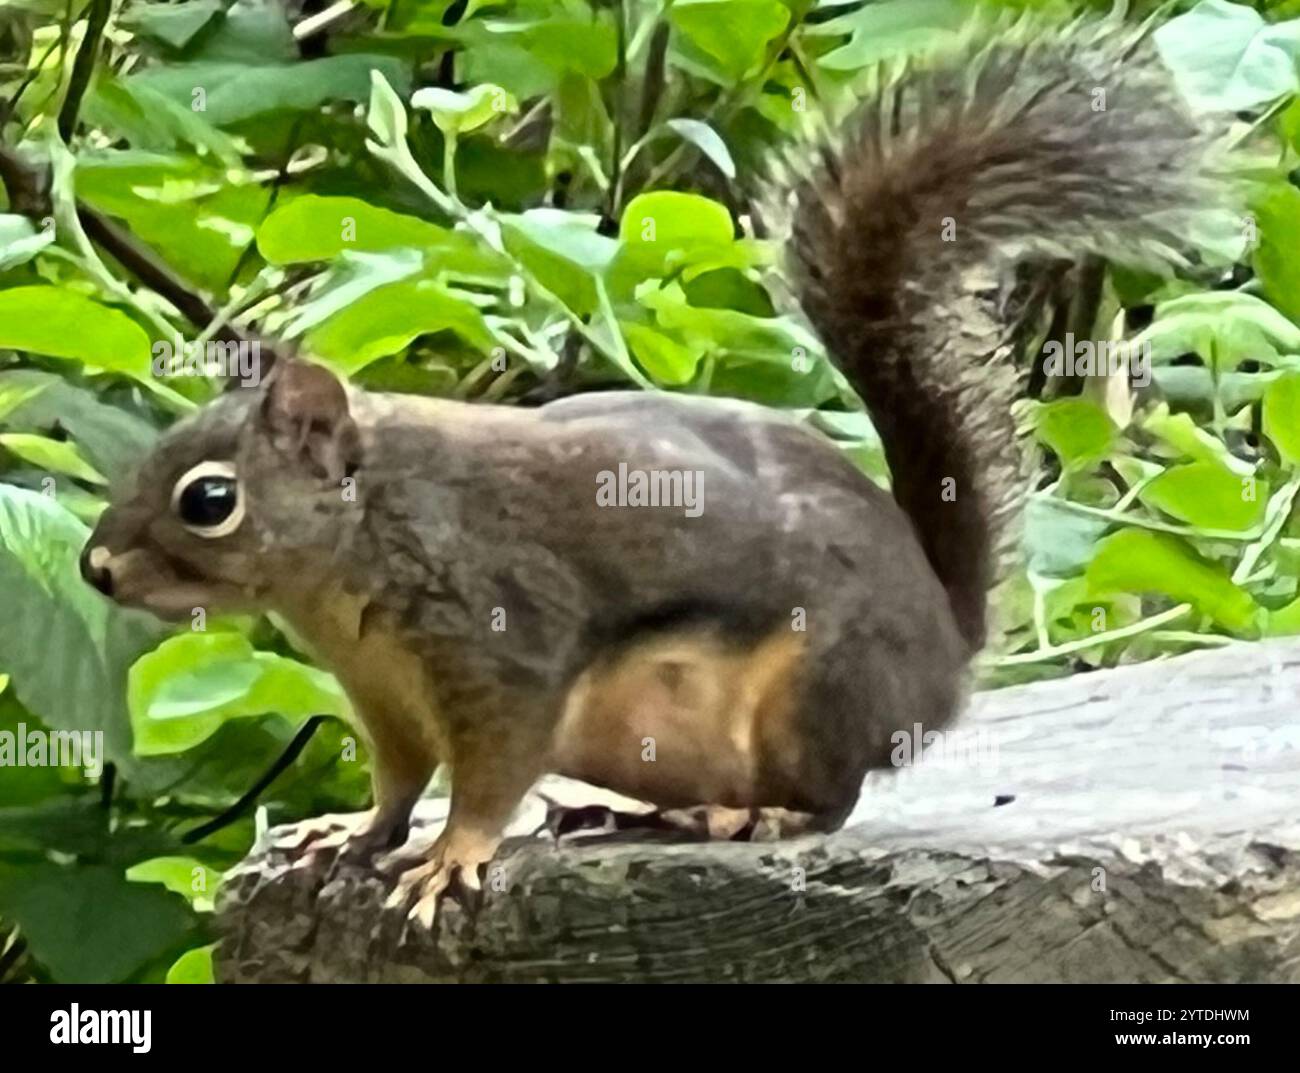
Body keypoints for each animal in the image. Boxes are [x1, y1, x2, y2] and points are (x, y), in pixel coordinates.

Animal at [81, 17, 1227, 920]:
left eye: (209, 499)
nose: (95, 569)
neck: (364, 541)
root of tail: (945, 657)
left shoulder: (503, 639)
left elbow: (488, 776)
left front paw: (451, 857)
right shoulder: (385, 694)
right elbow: (400, 783)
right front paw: (352, 835)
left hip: (813, 688)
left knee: (836, 794)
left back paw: (751, 812)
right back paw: (614, 809)